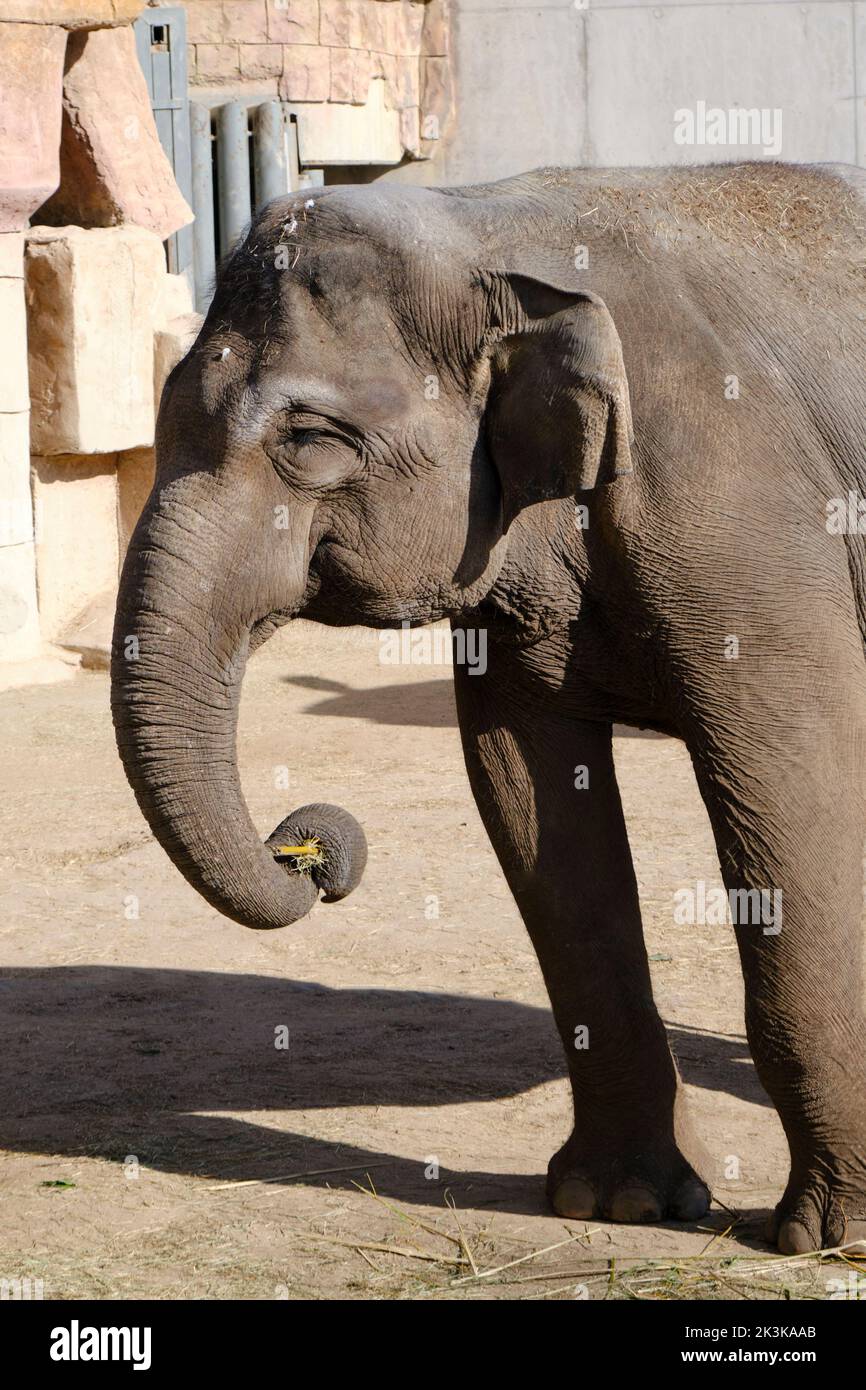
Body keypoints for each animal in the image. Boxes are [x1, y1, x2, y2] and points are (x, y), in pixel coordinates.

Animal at [111, 160, 866, 1255]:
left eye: (308, 438)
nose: (309, 848)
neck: (488, 232)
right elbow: (523, 786)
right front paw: (616, 1205)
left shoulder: (748, 523)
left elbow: (790, 783)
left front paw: (826, 1234)